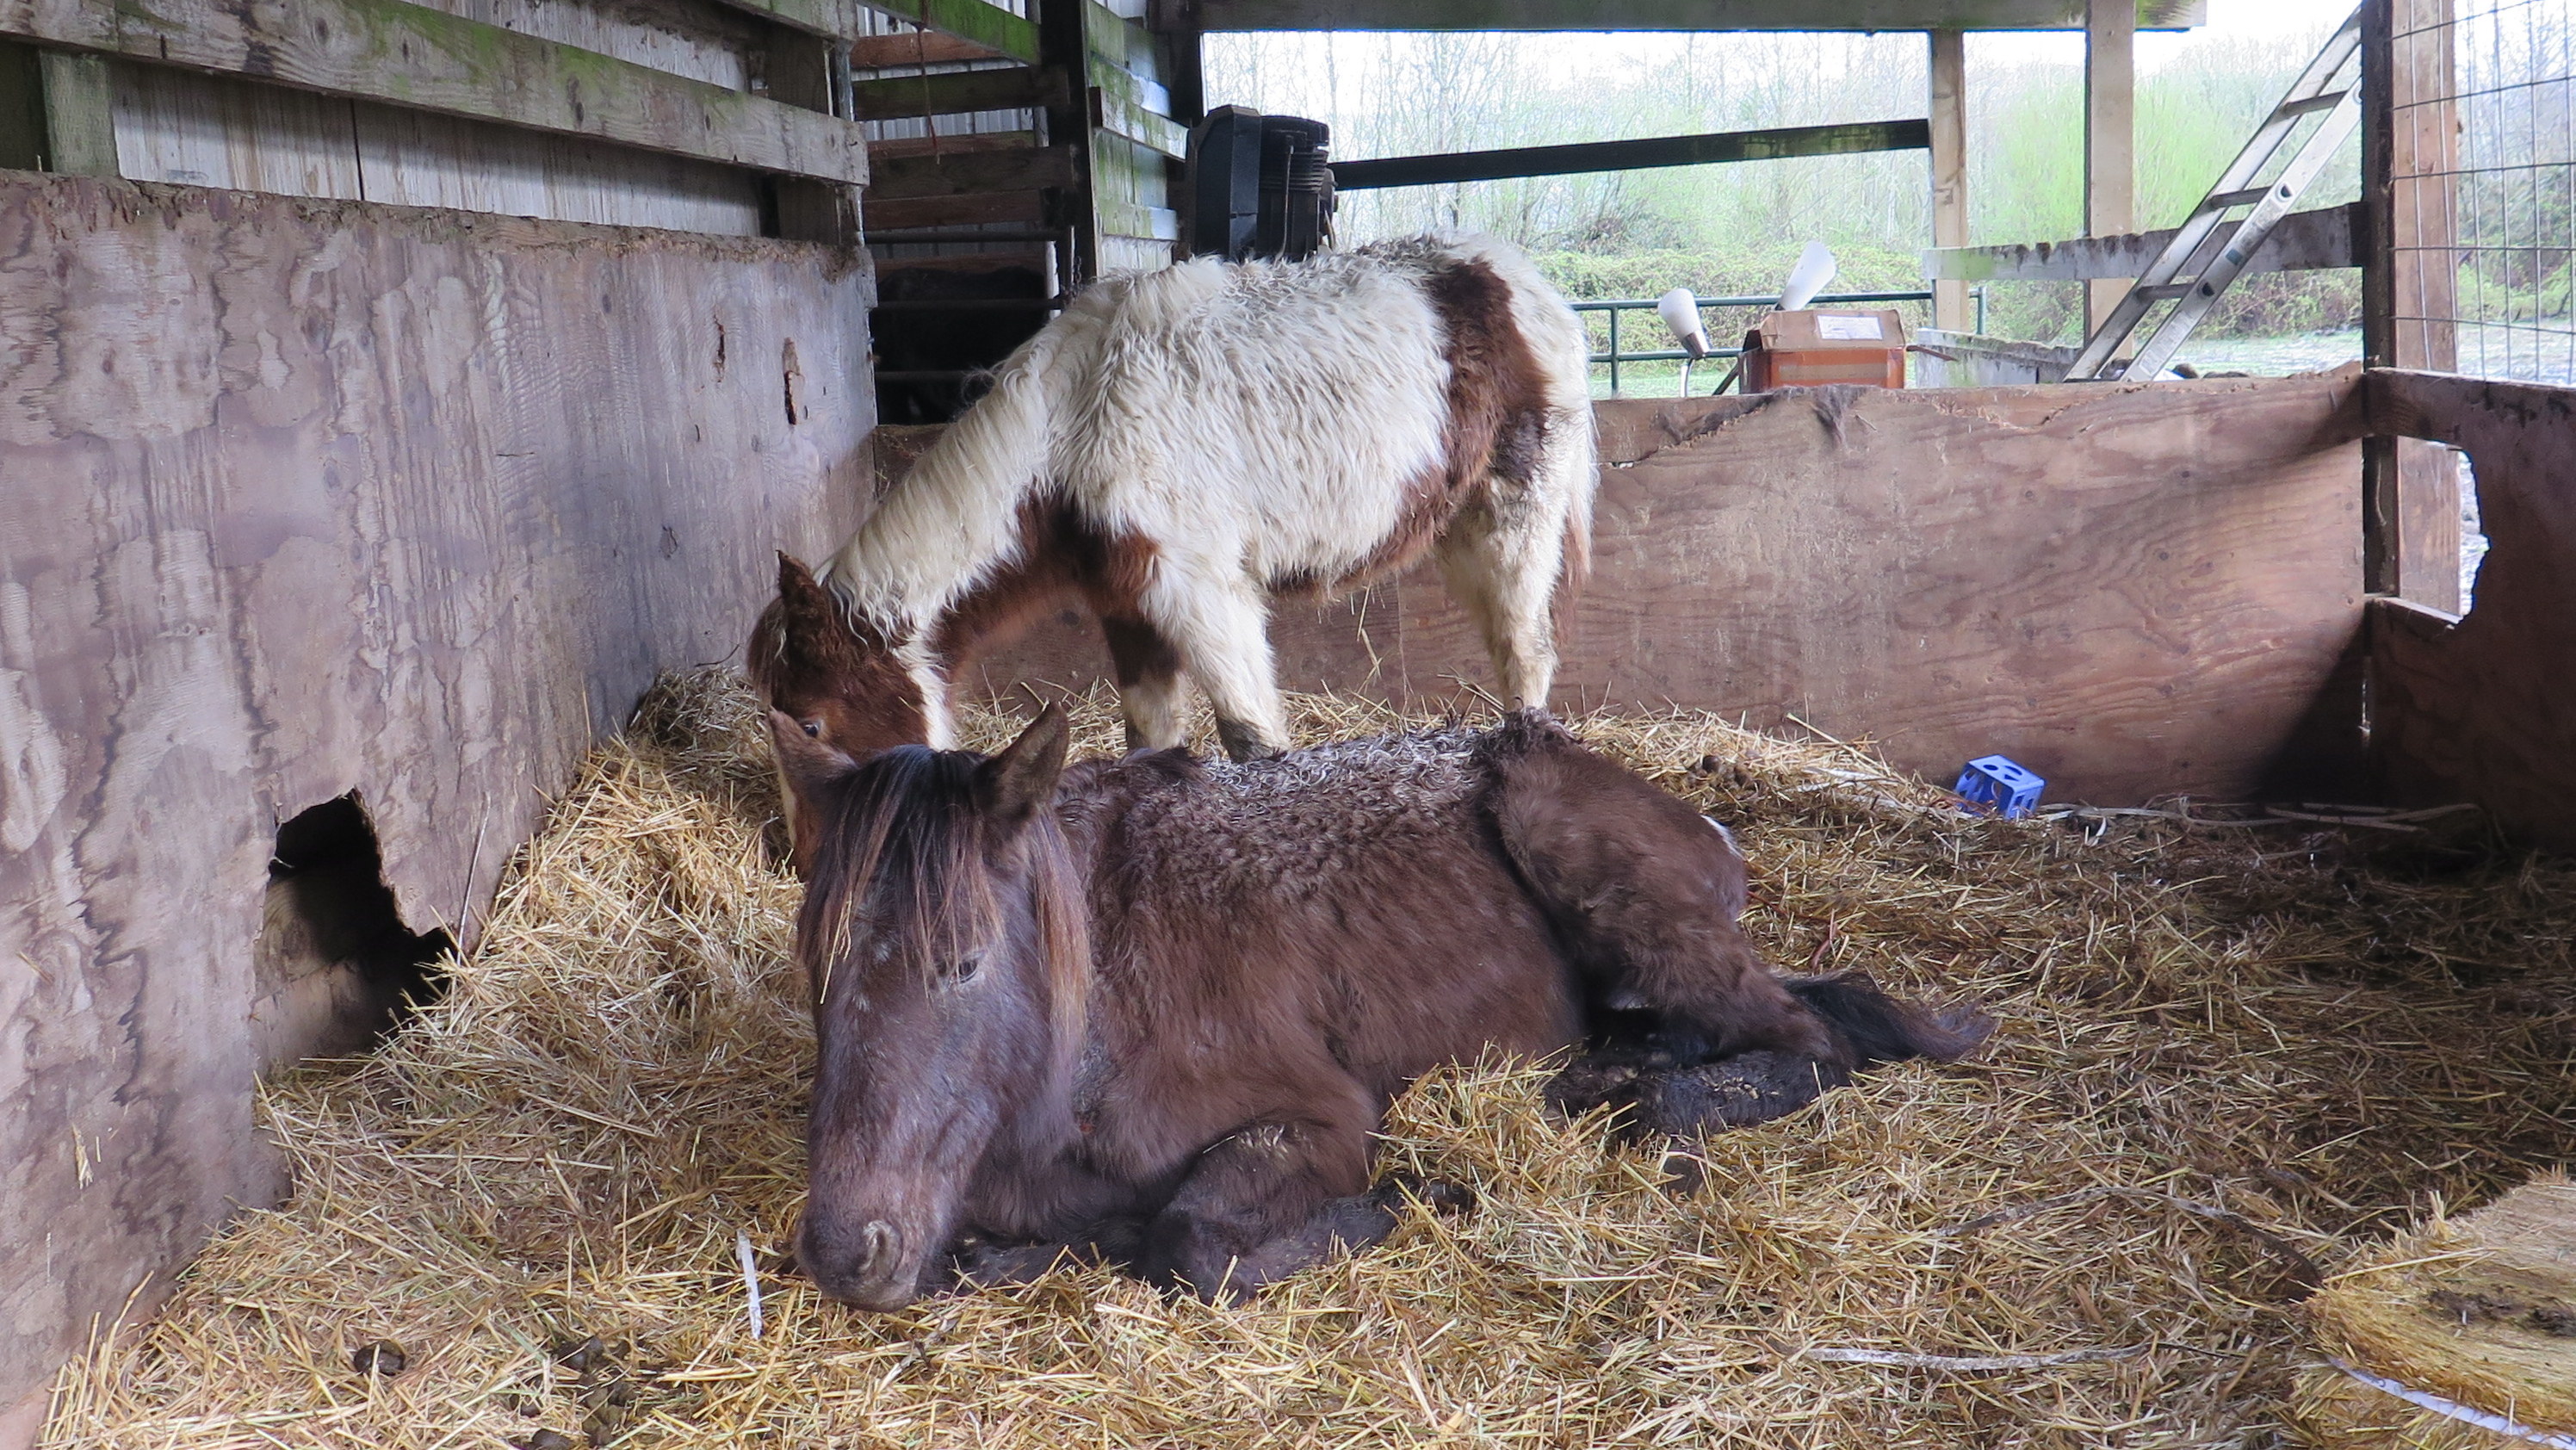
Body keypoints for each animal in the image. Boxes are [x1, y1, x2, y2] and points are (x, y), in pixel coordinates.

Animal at [749, 232, 1597, 780]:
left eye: (814, 721)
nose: (800, 857)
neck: (1071, 431)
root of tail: (1526, 285)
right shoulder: (1126, 605)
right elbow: (1151, 737)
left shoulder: (1203, 592)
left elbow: (1254, 743)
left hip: (1515, 514)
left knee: (1526, 652)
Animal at [770, 705, 1990, 1310]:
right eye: (812, 963)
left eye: (965, 961)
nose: (840, 1250)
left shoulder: (1319, 1120)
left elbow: (1189, 1243)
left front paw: (1405, 1202)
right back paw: (1604, 1072)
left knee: (1802, 1038)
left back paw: (1638, 1100)